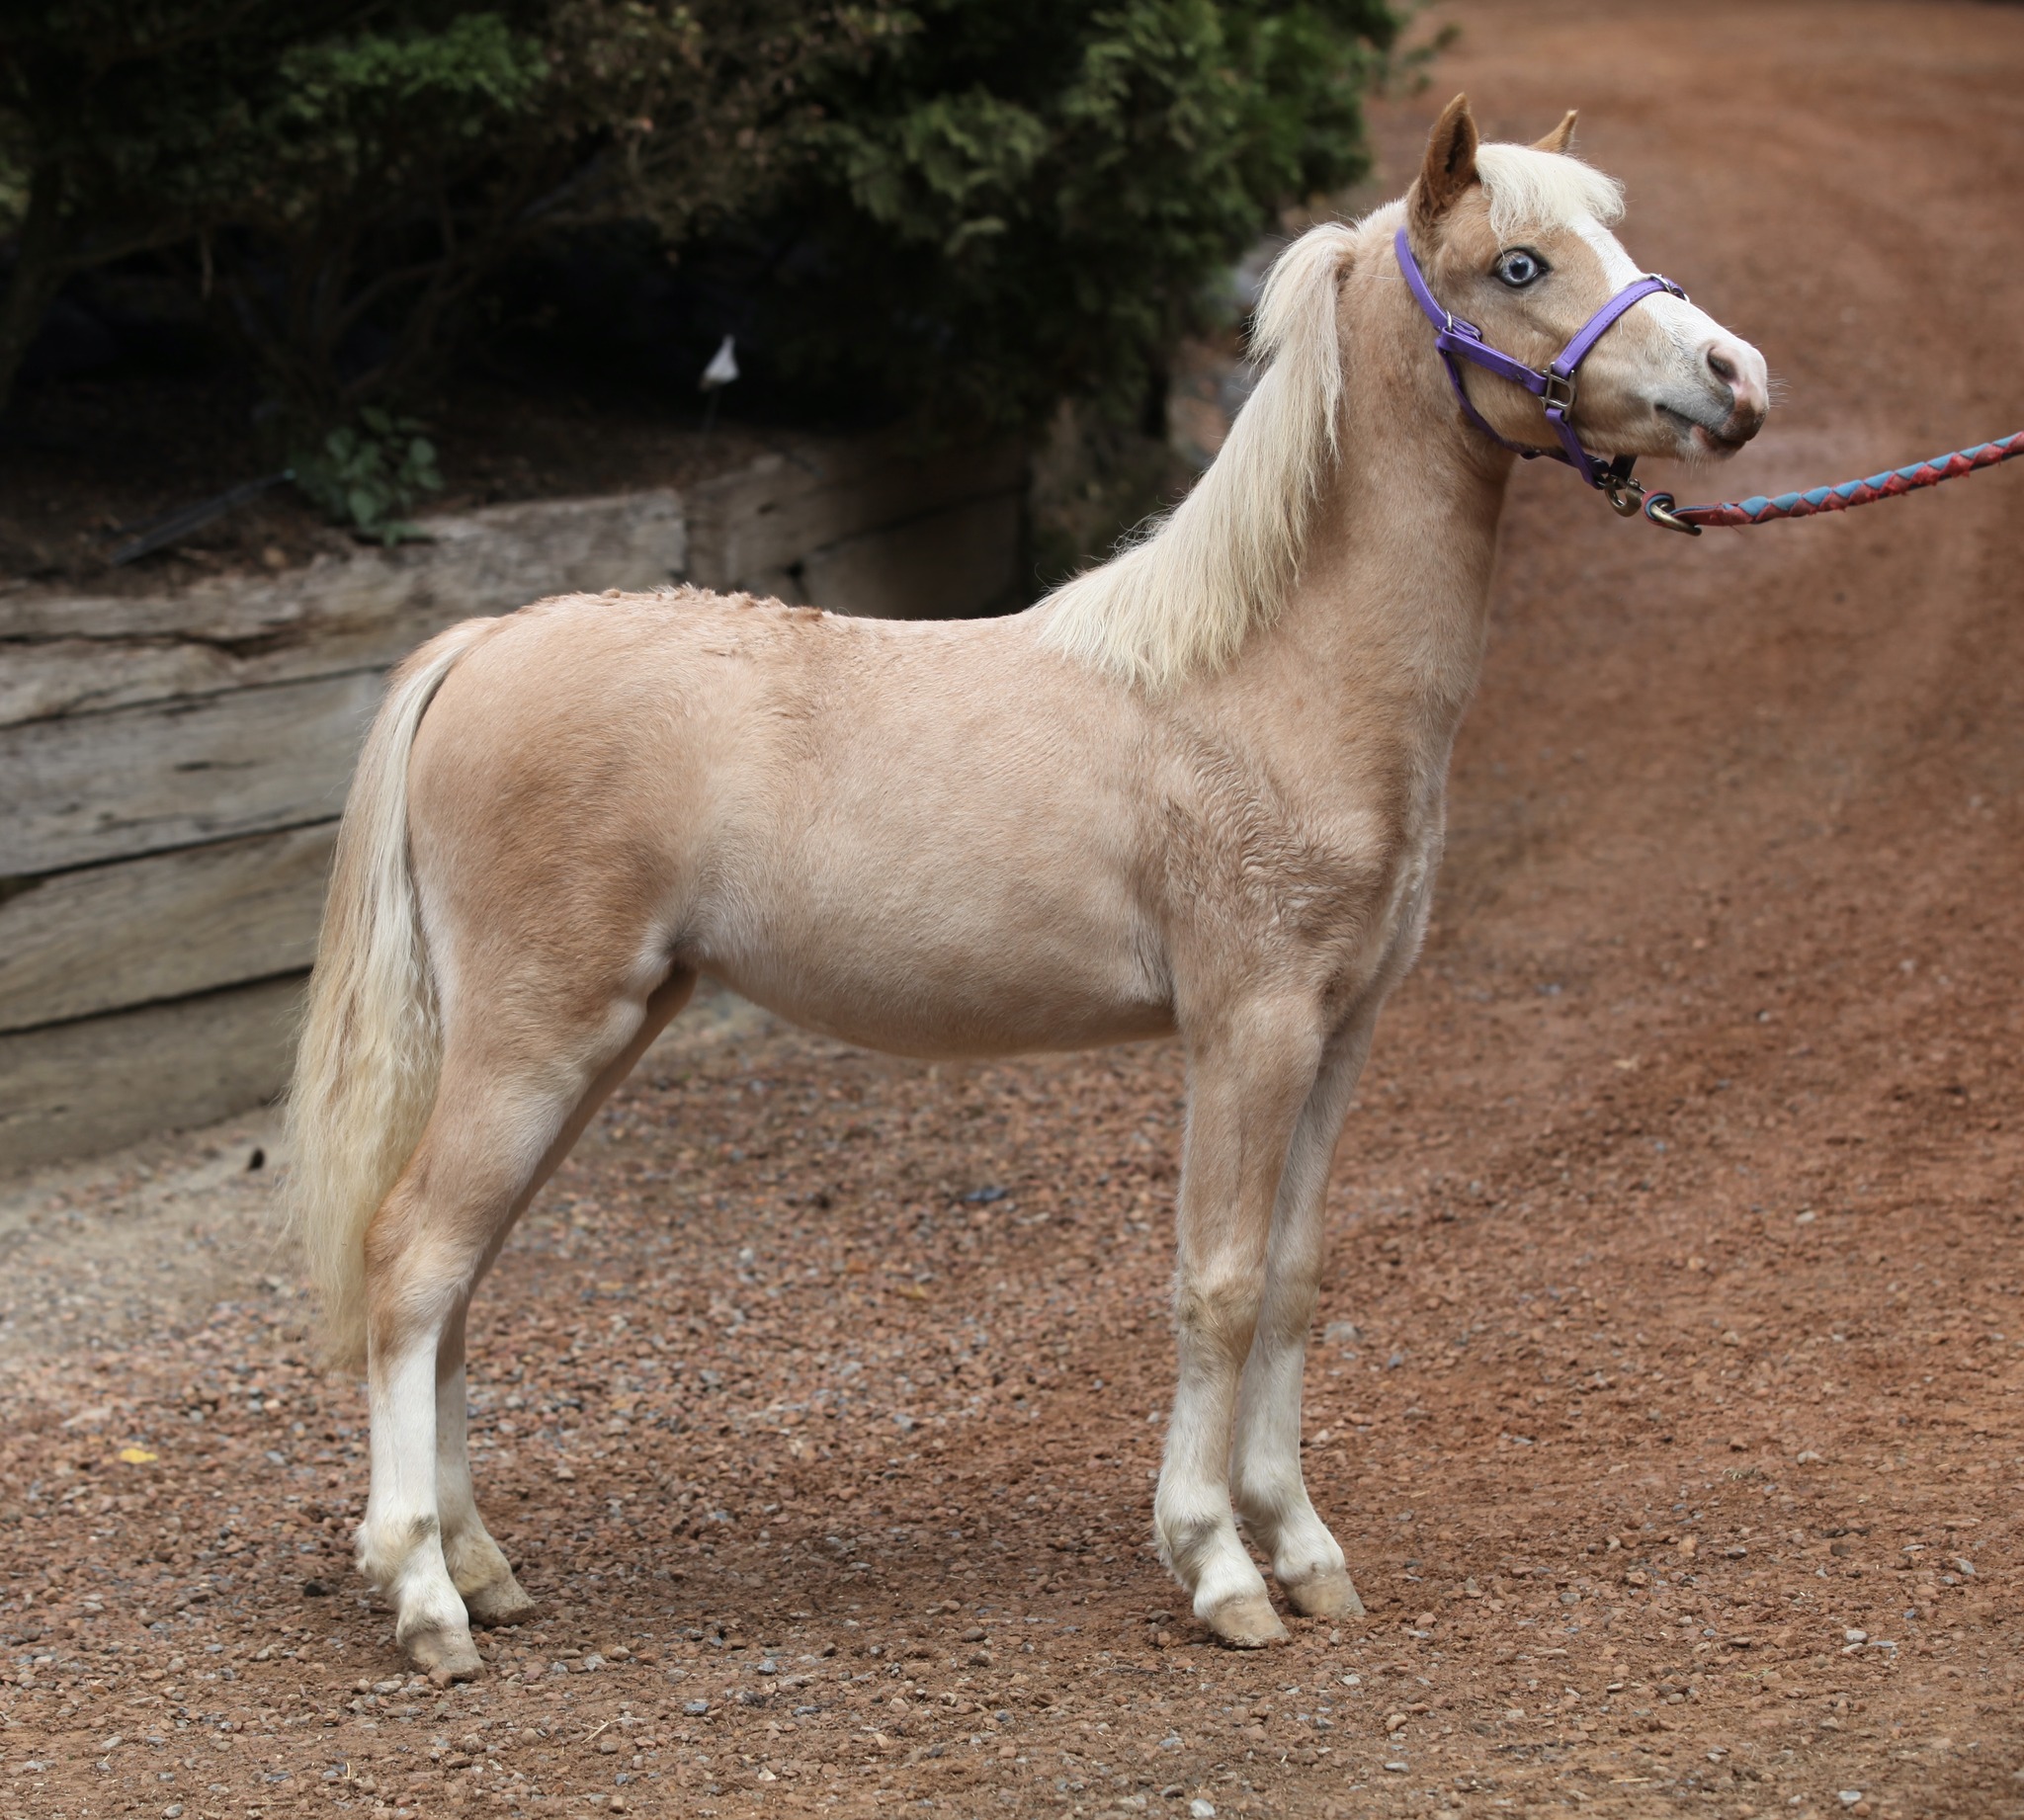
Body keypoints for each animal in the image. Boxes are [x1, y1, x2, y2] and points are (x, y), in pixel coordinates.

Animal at [287, 94, 1768, 1681]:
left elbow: (1296, 1281)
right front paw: (1218, 1566)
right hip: (537, 1037)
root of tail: (483, 643)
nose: (1732, 378)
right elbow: (1219, 1284)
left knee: (454, 1277)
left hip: (594, 1039)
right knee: (414, 1261)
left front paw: (1305, 1551)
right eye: (1518, 263)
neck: (1273, 673)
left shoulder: (1341, 1033)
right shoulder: (1246, 1031)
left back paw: (481, 1567)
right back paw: (426, 1599)